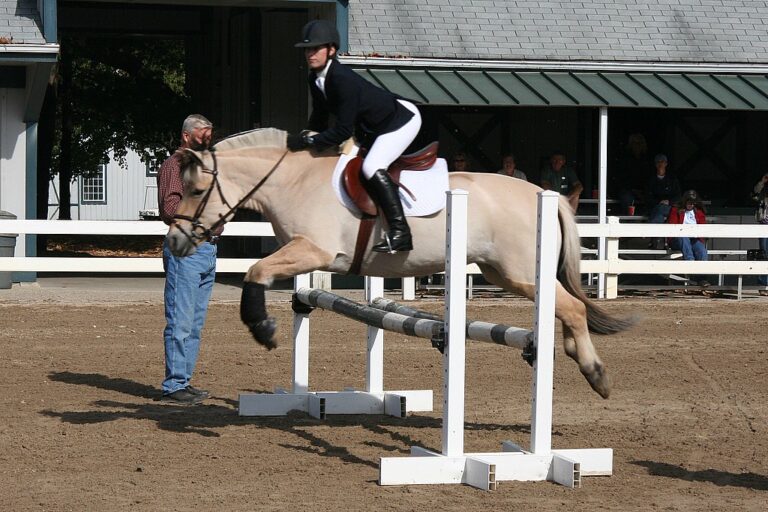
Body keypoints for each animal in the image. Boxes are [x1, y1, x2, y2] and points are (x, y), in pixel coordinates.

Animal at [167, 128, 633, 399]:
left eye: (195, 191)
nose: (173, 241)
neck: (291, 180)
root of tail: (543, 194)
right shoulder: (301, 254)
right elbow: (269, 277)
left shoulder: (314, 250)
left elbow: (255, 272)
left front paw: (263, 329)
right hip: (502, 273)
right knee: (565, 308)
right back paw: (577, 356)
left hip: (520, 272)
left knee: (570, 307)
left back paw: (596, 373)